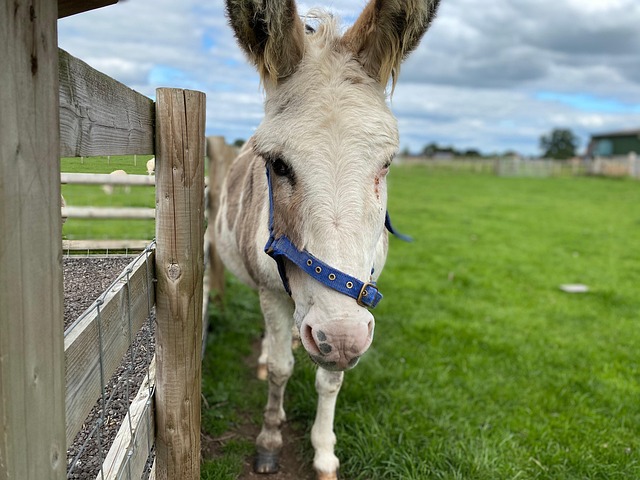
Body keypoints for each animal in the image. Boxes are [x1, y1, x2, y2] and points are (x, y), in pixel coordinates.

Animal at [216, 1, 440, 478]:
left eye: (386, 164)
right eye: (277, 164)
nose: (341, 339)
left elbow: (330, 380)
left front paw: (323, 452)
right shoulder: (272, 294)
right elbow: (281, 369)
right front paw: (269, 440)